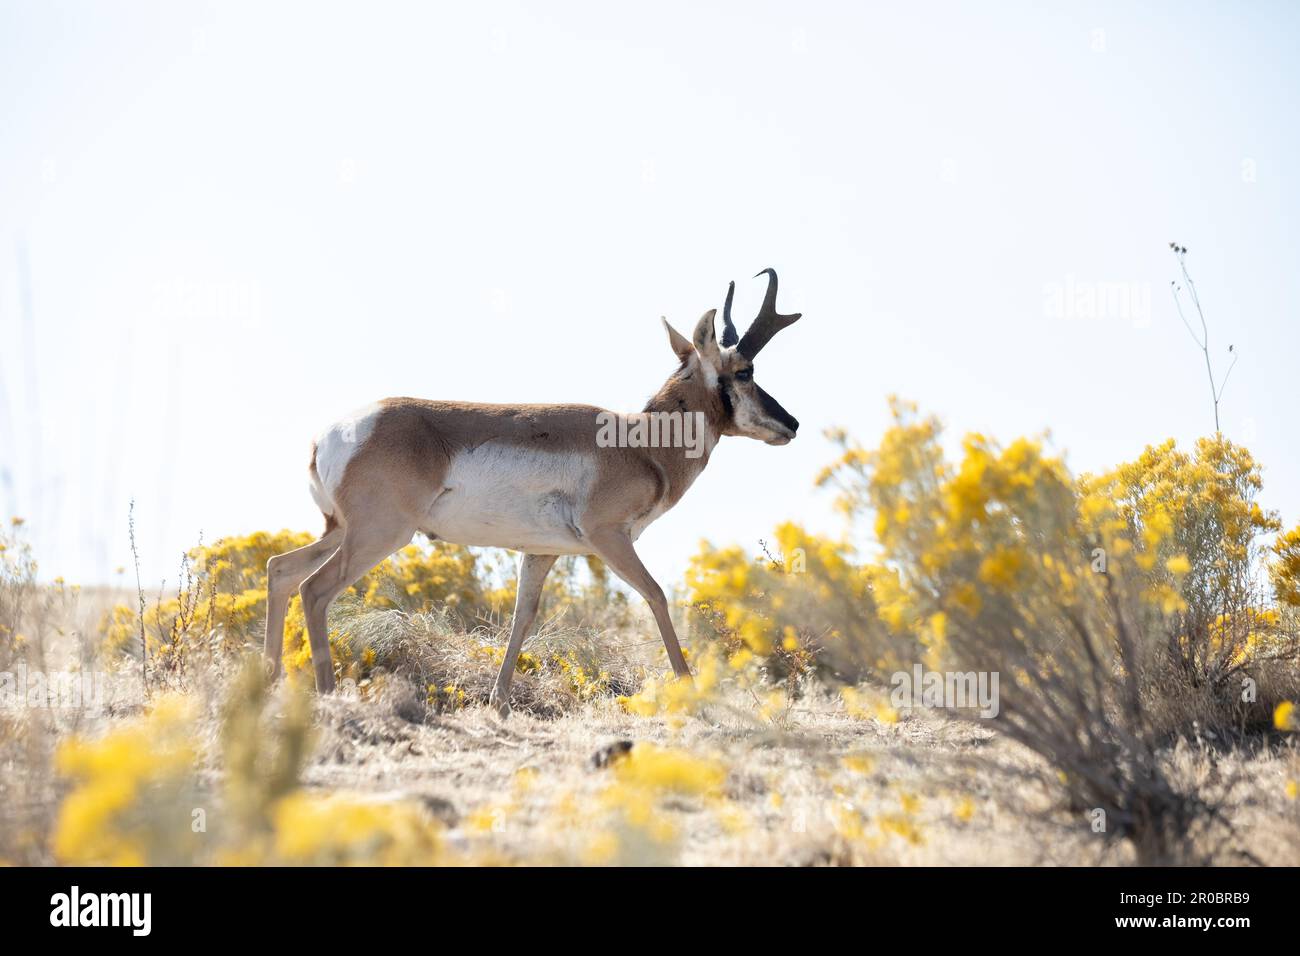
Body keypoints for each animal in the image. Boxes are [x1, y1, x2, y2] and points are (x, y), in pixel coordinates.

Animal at [263, 269, 803, 716]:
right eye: (745, 372)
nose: (792, 424)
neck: (637, 441)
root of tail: (332, 433)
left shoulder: (541, 553)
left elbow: (523, 618)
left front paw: (500, 702)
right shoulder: (610, 538)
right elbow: (657, 596)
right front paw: (691, 694)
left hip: (341, 532)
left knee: (281, 569)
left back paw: (267, 681)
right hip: (380, 536)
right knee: (314, 590)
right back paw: (328, 693)